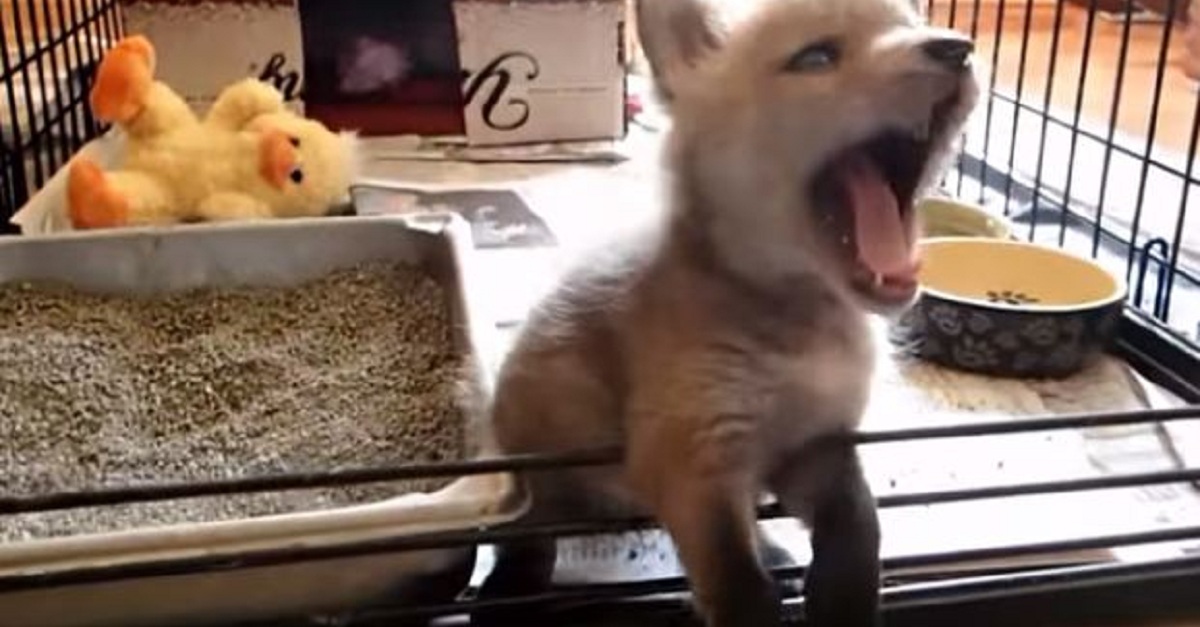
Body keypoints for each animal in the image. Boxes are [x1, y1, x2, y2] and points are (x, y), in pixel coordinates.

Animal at [469, 0, 981, 625]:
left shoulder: (820, 446)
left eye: (911, 23)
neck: (799, 333)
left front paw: (840, 598)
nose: (957, 47)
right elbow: (739, 586)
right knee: (529, 535)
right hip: (537, 468)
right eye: (816, 57)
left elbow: (858, 531)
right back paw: (506, 589)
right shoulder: (693, 462)